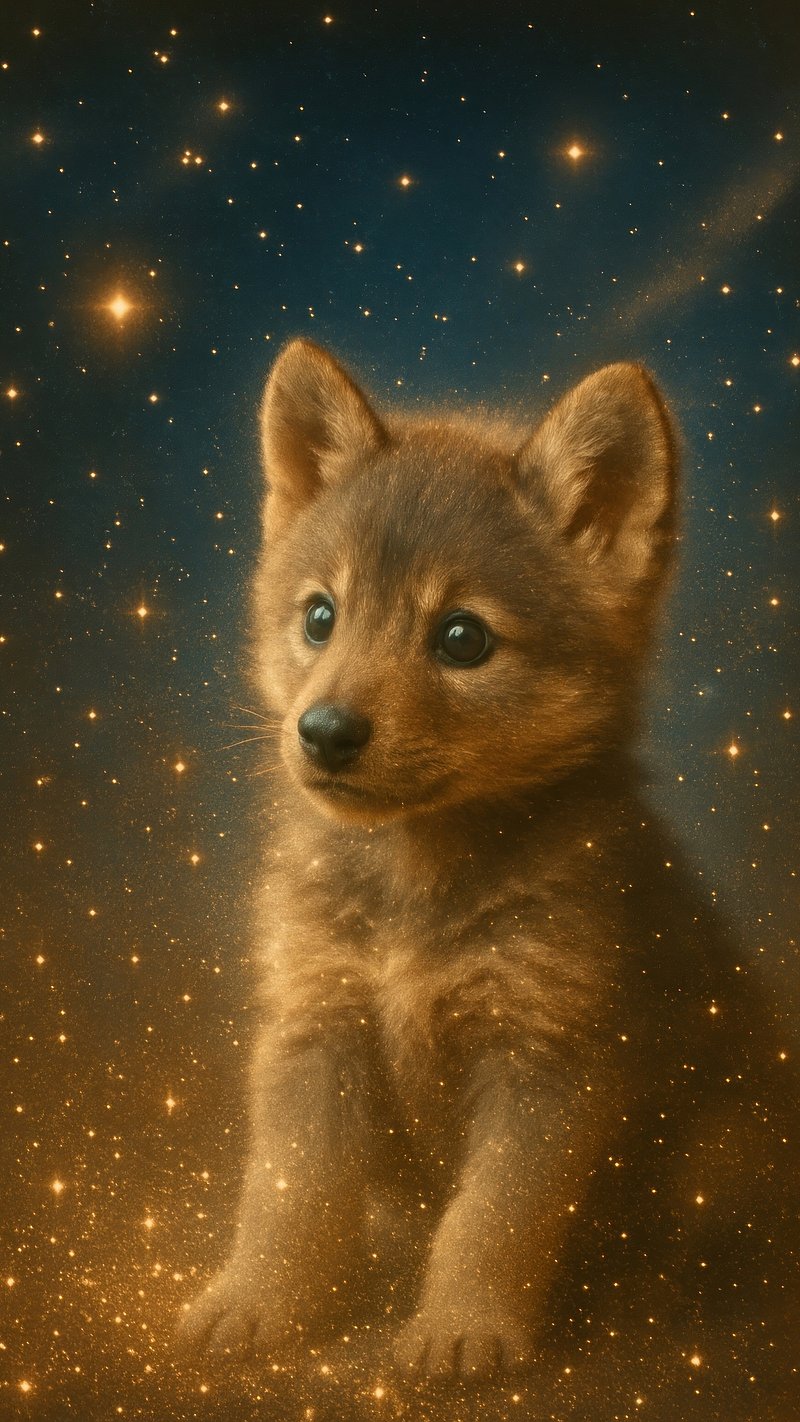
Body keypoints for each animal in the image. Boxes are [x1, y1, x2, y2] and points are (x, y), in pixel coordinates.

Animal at [178, 340, 797, 1407]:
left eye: (462, 638)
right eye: (320, 616)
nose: (324, 731)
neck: (414, 893)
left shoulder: (545, 1058)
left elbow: (489, 1222)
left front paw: (460, 1329)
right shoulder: (315, 1027)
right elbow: (288, 1197)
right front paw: (254, 1303)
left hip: (726, 1150)